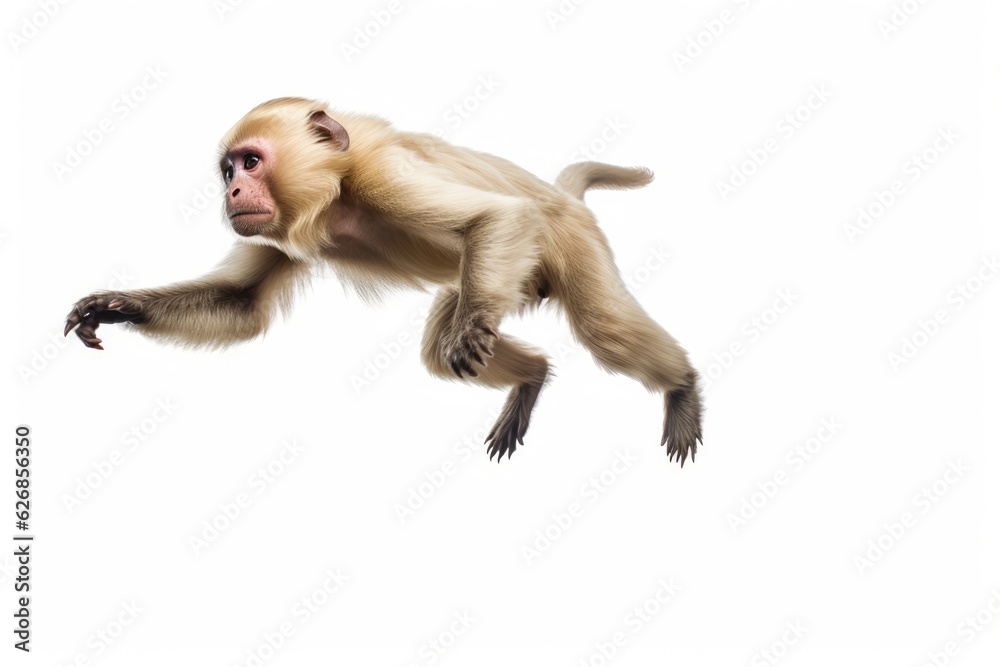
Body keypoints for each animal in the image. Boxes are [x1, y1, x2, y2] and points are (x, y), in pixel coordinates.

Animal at [65, 97, 703, 465]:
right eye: (228, 170)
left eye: (250, 162)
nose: (231, 192)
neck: (338, 193)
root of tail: (562, 200)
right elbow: (240, 302)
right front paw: (113, 306)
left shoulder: (382, 176)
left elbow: (496, 218)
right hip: (508, 277)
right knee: (442, 349)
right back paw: (531, 378)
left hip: (564, 240)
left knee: (601, 326)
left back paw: (681, 390)